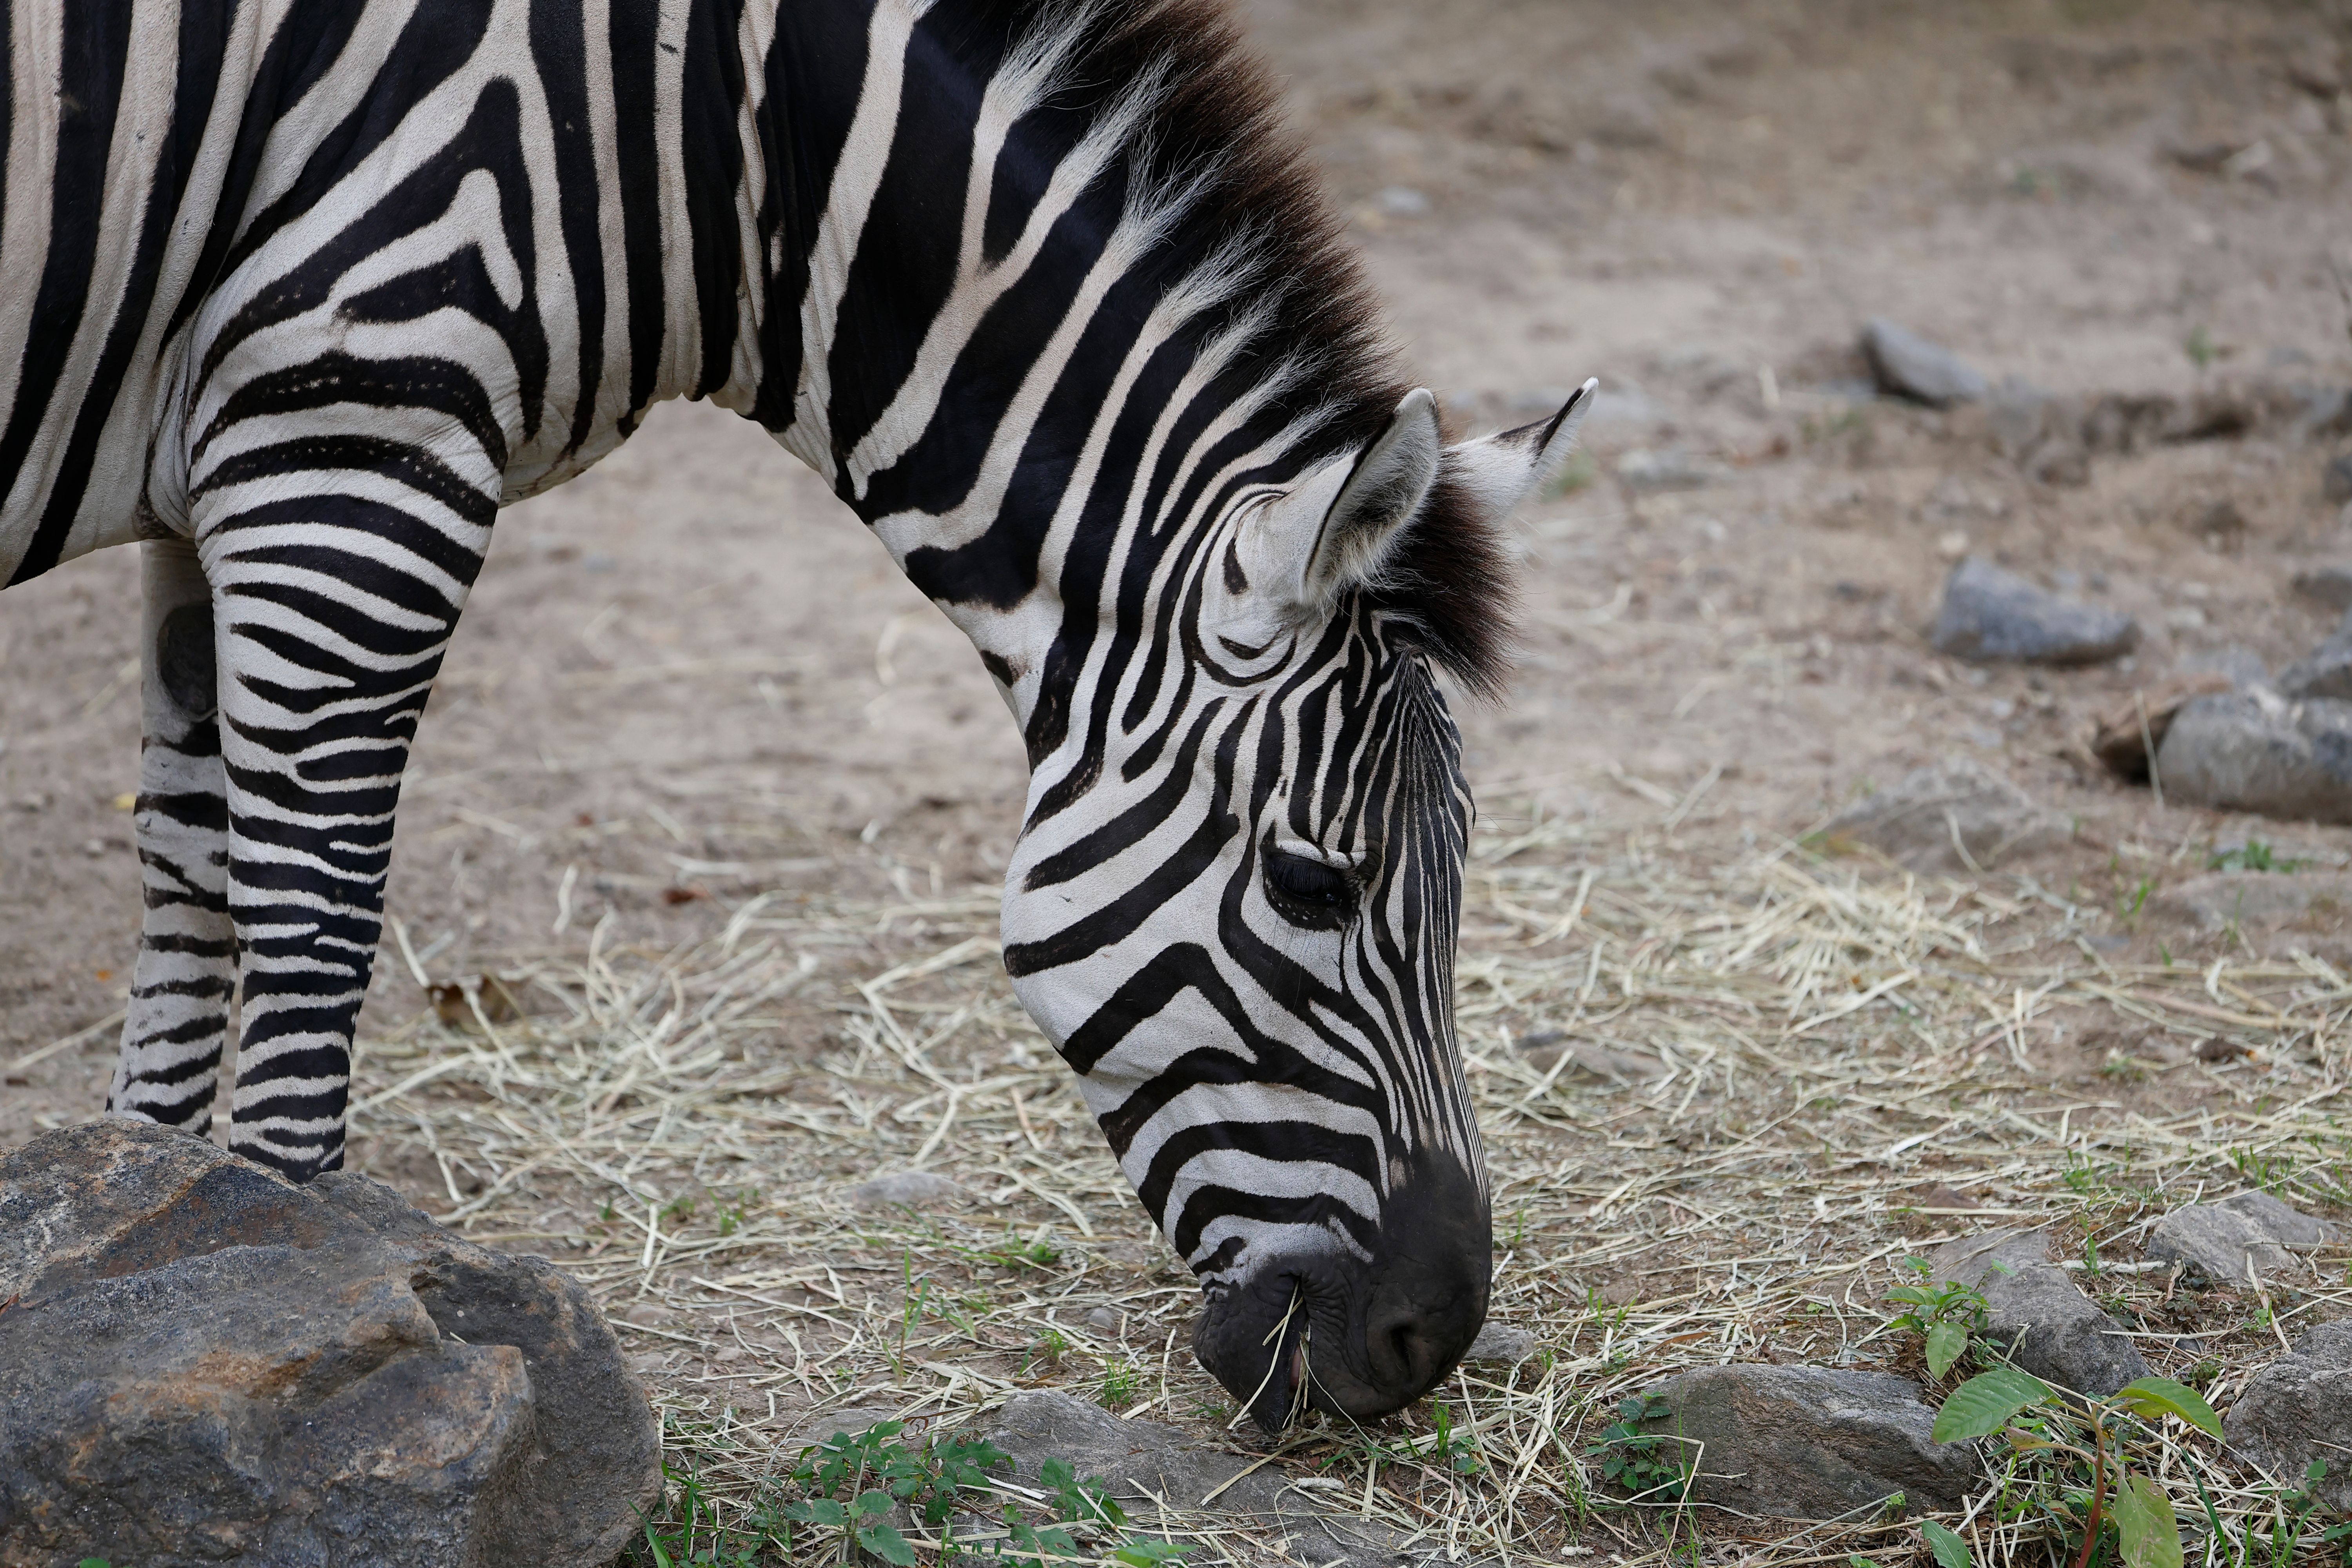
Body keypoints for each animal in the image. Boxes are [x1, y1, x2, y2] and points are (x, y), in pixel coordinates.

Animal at [0, 0, 1592, 1427]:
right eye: (1313, 883)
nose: (1431, 1336)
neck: (697, 138)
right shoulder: (351, 441)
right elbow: (310, 916)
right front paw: (304, 1290)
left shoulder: (226, 474)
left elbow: (191, 874)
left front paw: (140, 1255)